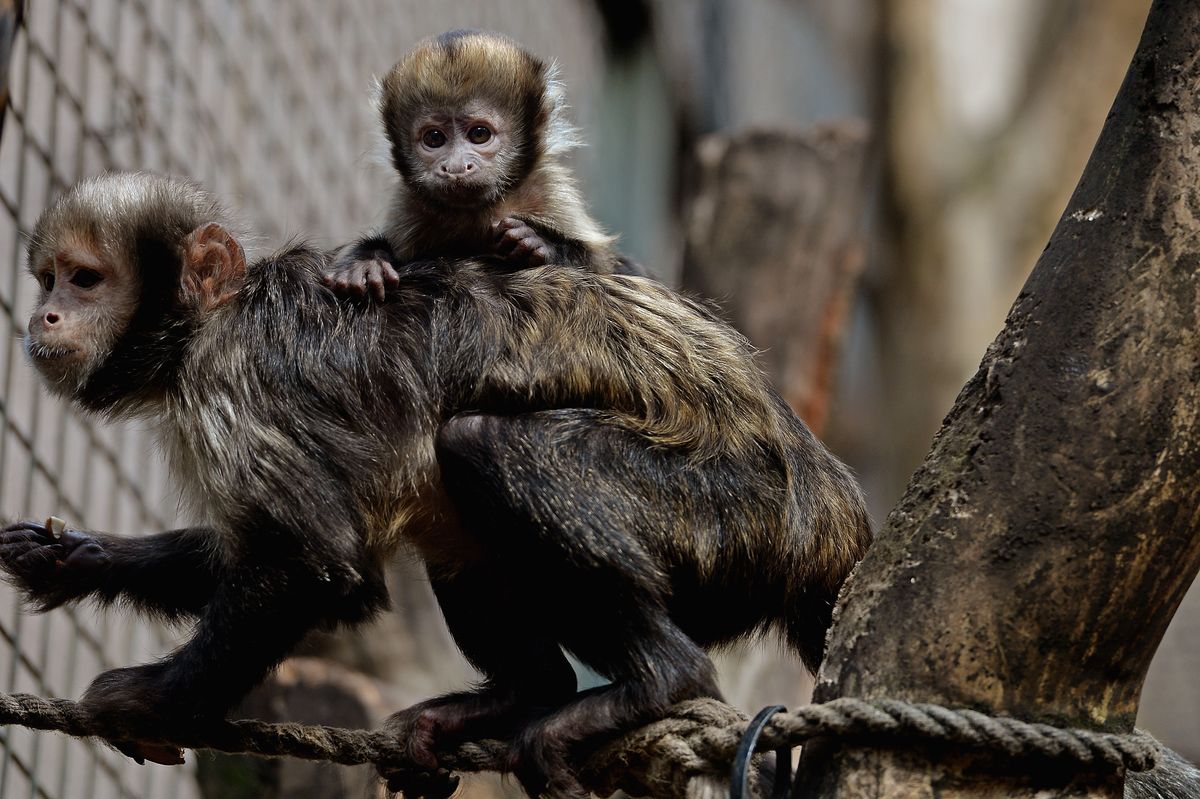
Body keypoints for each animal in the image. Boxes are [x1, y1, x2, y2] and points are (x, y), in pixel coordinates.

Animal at [0, 172, 870, 798]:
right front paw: (73, 557)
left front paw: (154, 698)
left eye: (84, 280)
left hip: (728, 515)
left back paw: (658, 678)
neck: (211, 325)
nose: (44, 317)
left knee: (481, 444)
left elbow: (317, 565)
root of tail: (828, 506)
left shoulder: (238, 385)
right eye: (47, 279)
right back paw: (523, 692)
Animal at [325, 29, 647, 302]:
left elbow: (606, 267)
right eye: (434, 138)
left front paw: (538, 243)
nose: (456, 167)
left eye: (479, 134)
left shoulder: (550, 190)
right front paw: (368, 260)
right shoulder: (408, 207)